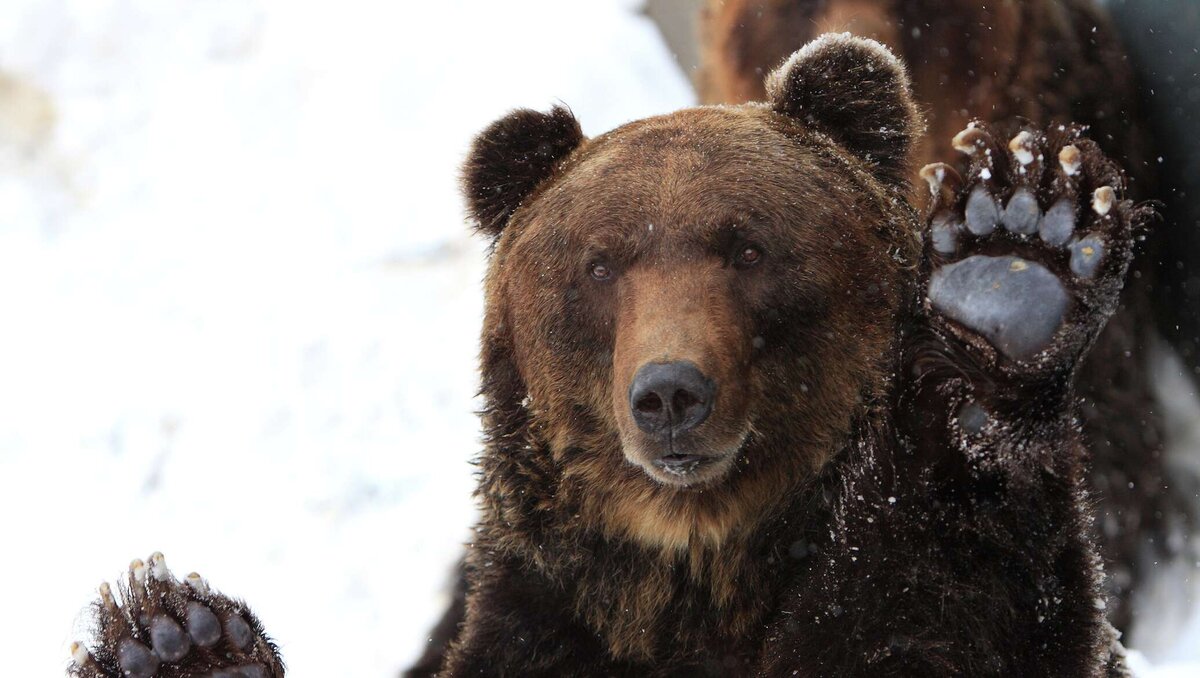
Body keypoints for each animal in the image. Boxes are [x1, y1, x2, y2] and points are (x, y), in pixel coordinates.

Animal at [70, 33, 1147, 676]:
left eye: (747, 246)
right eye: (598, 265)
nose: (669, 393)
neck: (707, 566)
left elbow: (958, 600)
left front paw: (1017, 254)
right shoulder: (544, 612)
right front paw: (173, 638)